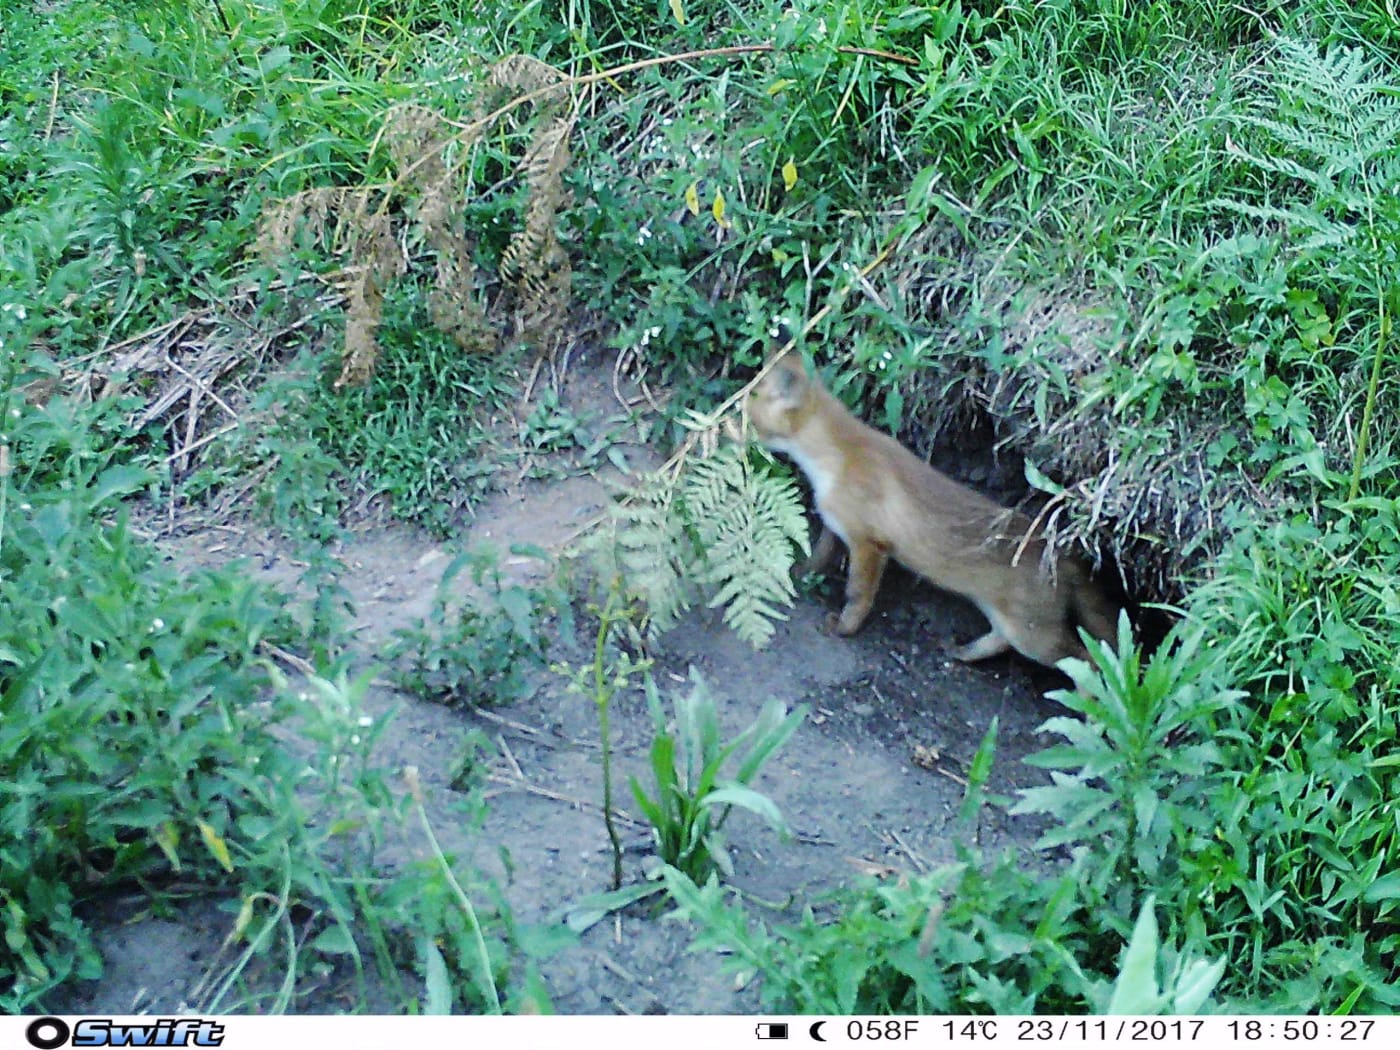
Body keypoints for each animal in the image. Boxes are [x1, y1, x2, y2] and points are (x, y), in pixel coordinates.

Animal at [747, 352, 1119, 668]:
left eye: (744, 417)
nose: (727, 432)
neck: (836, 460)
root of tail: (1064, 549)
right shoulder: (836, 525)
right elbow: (818, 558)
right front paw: (797, 575)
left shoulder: (870, 544)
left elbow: (858, 595)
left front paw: (844, 628)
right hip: (1009, 622)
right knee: (1000, 642)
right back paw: (962, 652)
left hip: (1034, 635)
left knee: (1087, 661)